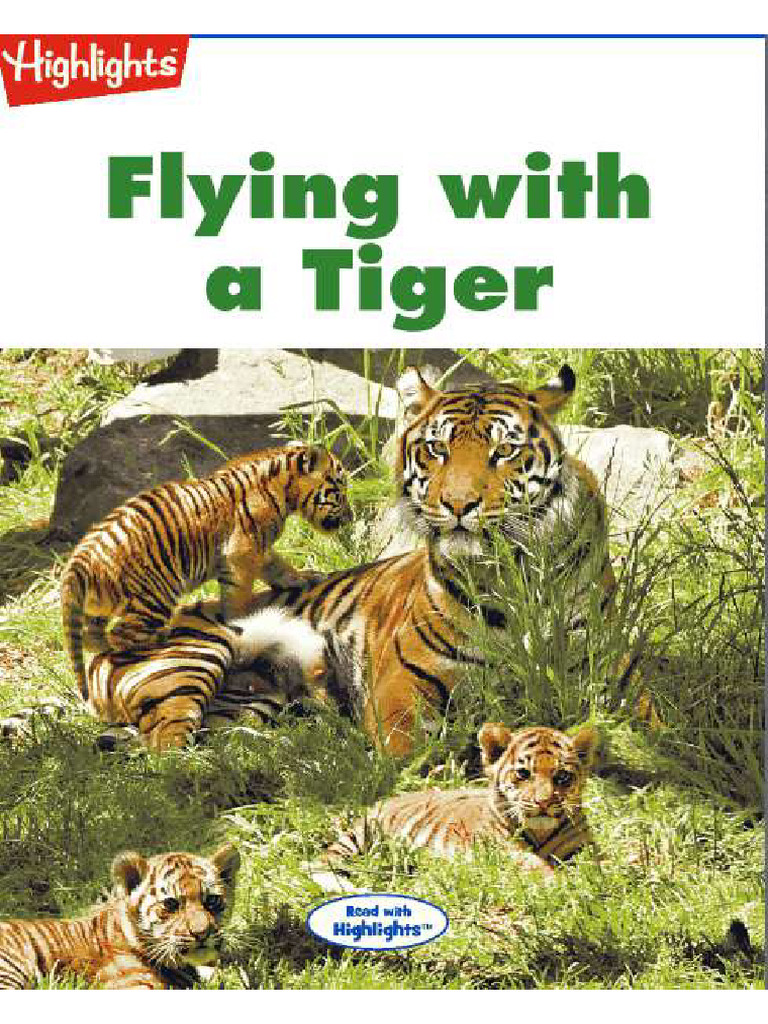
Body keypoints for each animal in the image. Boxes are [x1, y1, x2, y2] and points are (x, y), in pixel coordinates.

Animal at [61, 442, 351, 700]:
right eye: (339, 489)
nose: (350, 517)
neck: (283, 486)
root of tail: (80, 558)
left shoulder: (260, 549)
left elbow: (277, 568)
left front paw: (305, 578)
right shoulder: (243, 551)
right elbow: (239, 596)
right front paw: (244, 624)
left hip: (101, 607)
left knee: (92, 637)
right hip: (155, 597)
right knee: (121, 637)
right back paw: (159, 639)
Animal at [239, 364, 615, 756]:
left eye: (504, 450)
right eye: (438, 448)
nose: (458, 504)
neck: (516, 576)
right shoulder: (403, 680)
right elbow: (403, 746)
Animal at [307, 722, 600, 892]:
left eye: (562, 777)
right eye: (523, 773)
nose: (544, 802)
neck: (541, 832)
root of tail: (383, 799)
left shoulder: (584, 849)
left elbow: (597, 866)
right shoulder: (502, 849)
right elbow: (532, 865)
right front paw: (558, 882)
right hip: (359, 837)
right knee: (319, 863)